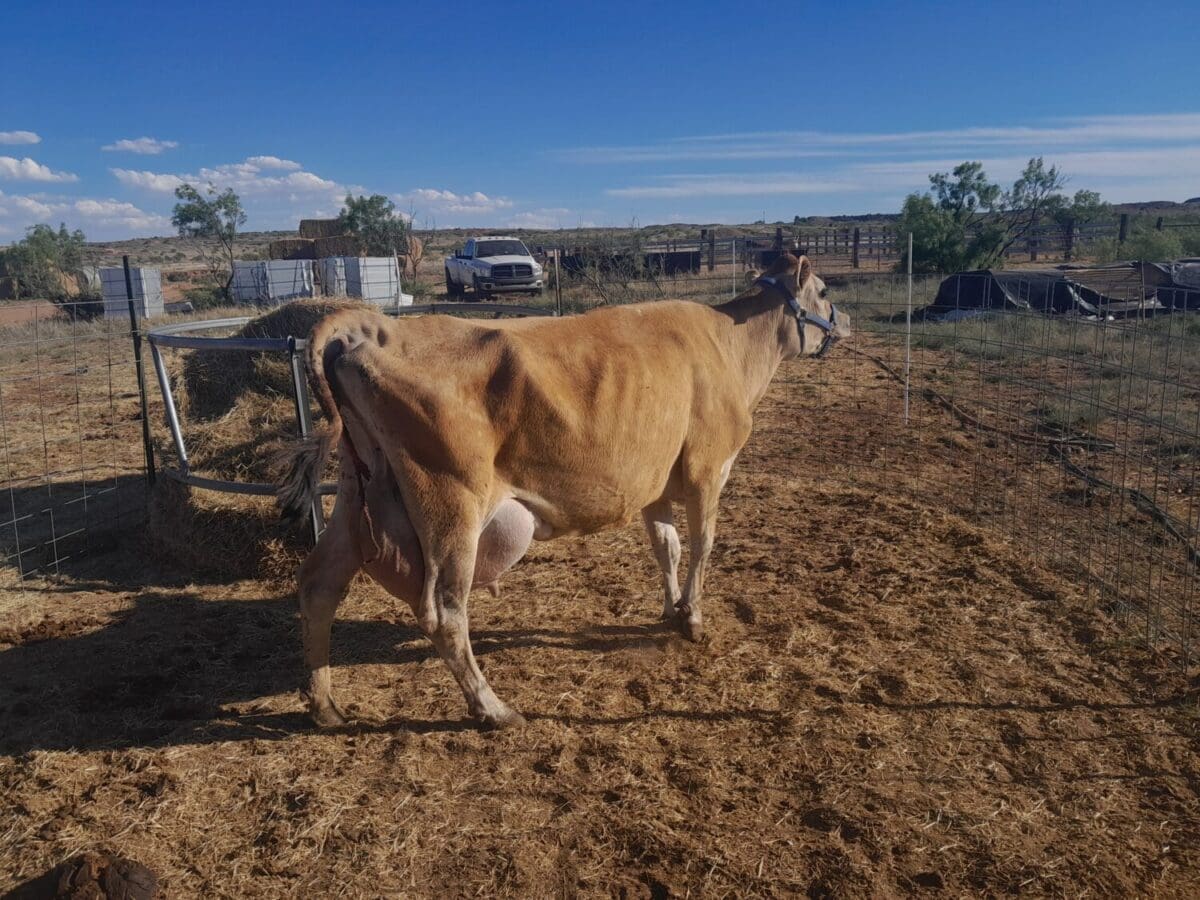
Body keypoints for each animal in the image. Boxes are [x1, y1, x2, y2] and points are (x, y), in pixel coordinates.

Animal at [277, 253, 849, 729]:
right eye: (823, 290)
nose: (844, 322)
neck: (732, 345)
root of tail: (376, 328)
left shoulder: (655, 483)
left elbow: (666, 547)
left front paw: (671, 611)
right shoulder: (709, 468)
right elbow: (703, 546)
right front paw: (694, 620)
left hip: (357, 494)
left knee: (319, 584)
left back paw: (325, 706)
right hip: (451, 506)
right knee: (443, 611)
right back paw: (493, 709)